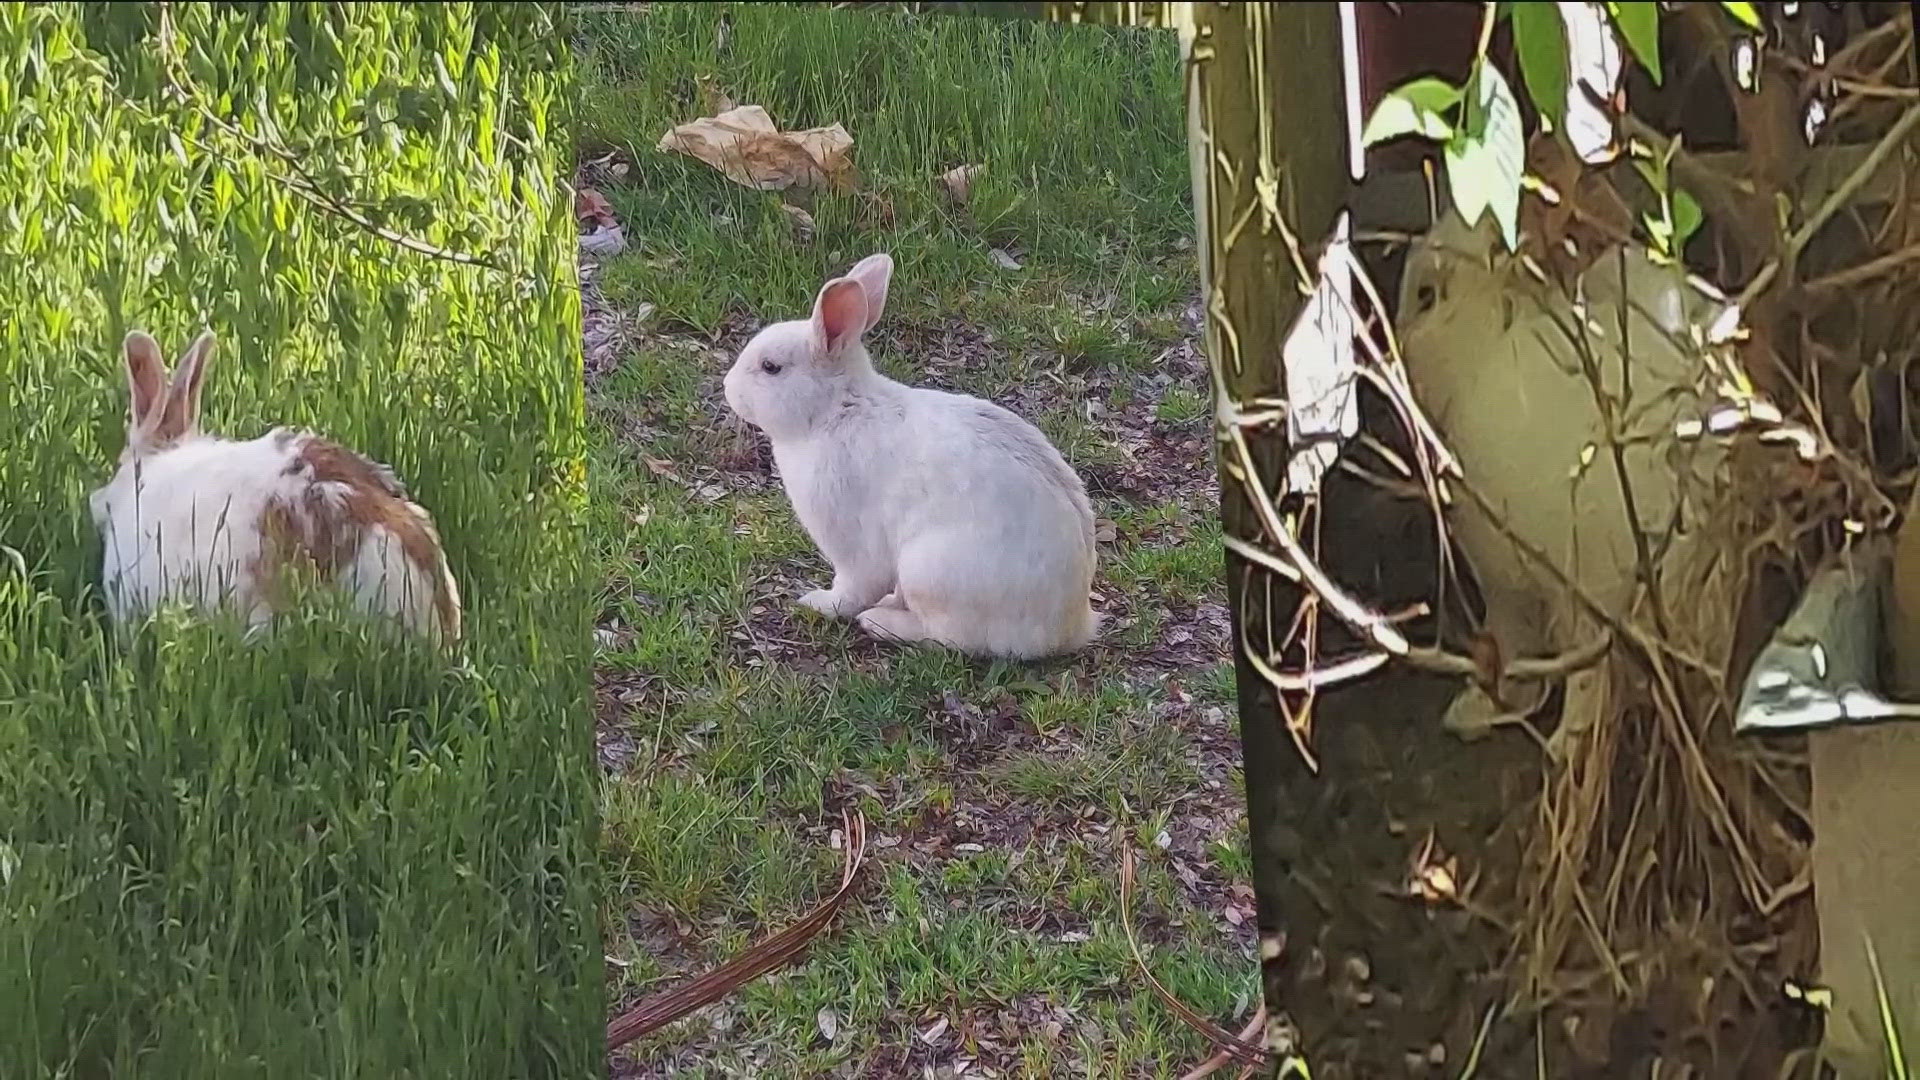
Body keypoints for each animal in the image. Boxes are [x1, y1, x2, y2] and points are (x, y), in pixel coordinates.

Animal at [722, 253, 1099, 659]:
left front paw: (818, 603)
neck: (834, 411)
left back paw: (880, 622)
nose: (728, 387)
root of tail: (1069, 628)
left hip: (931, 572)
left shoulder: (852, 544)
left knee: (947, 636)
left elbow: (851, 588)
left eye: (770, 367)